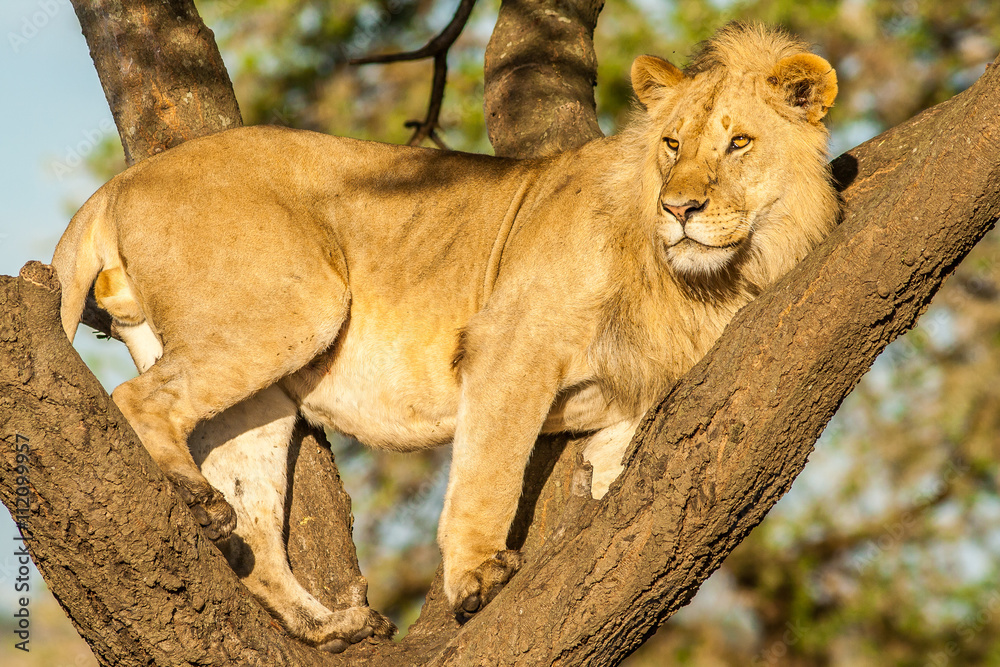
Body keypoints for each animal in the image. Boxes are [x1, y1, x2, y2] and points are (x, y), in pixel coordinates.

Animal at [52, 23, 838, 650]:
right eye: (673, 144)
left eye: (739, 143)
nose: (679, 208)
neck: (710, 278)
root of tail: (123, 180)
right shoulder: (509, 343)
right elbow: (489, 468)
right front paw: (476, 576)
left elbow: (626, 420)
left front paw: (609, 466)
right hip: (300, 305)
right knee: (137, 400)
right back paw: (194, 498)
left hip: (259, 391)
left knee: (254, 526)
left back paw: (329, 626)